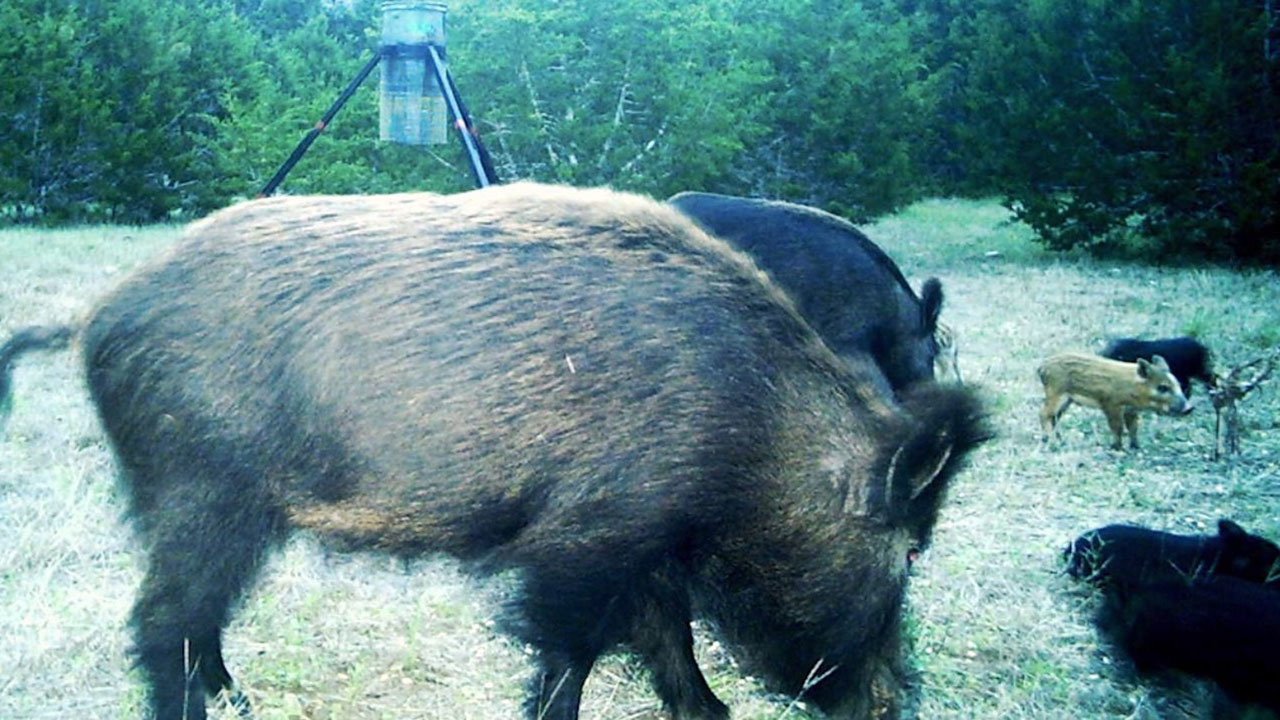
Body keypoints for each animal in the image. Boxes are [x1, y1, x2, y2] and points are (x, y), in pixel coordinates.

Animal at [1037, 352, 1192, 450]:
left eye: (1178, 385)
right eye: (1162, 387)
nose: (1189, 408)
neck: (1133, 388)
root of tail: (1041, 367)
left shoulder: (1131, 410)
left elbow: (1133, 427)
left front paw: (1136, 447)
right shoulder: (1111, 404)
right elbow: (1117, 427)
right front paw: (1117, 448)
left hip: (1067, 400)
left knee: (1054, 417)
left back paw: (1060, 440)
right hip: (1056, 393)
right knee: (1043, 413)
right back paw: (1050, 442)